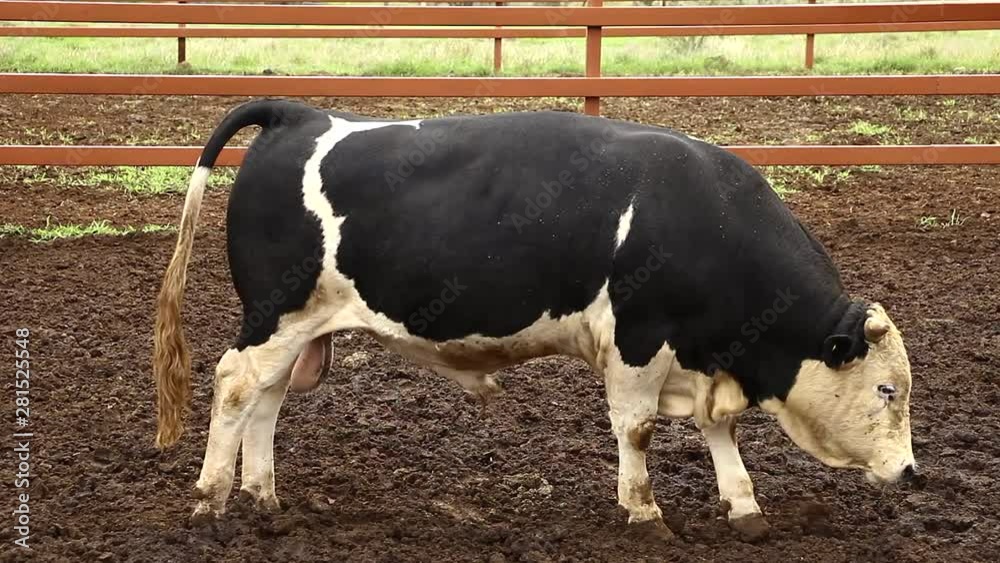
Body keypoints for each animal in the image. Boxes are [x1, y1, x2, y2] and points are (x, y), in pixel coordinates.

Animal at [153, 99, 916, 541]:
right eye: (887, 389)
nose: (911, 473)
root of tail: (298, 113)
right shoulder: (639, 339)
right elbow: (638, 429)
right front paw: (644, 512)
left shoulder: (700, 358)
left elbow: (718, 429)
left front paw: (744, 507)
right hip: (276, 315)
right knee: (235, 386)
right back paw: (211, 498)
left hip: (296, 329)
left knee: (267, 397)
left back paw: (263, 496)